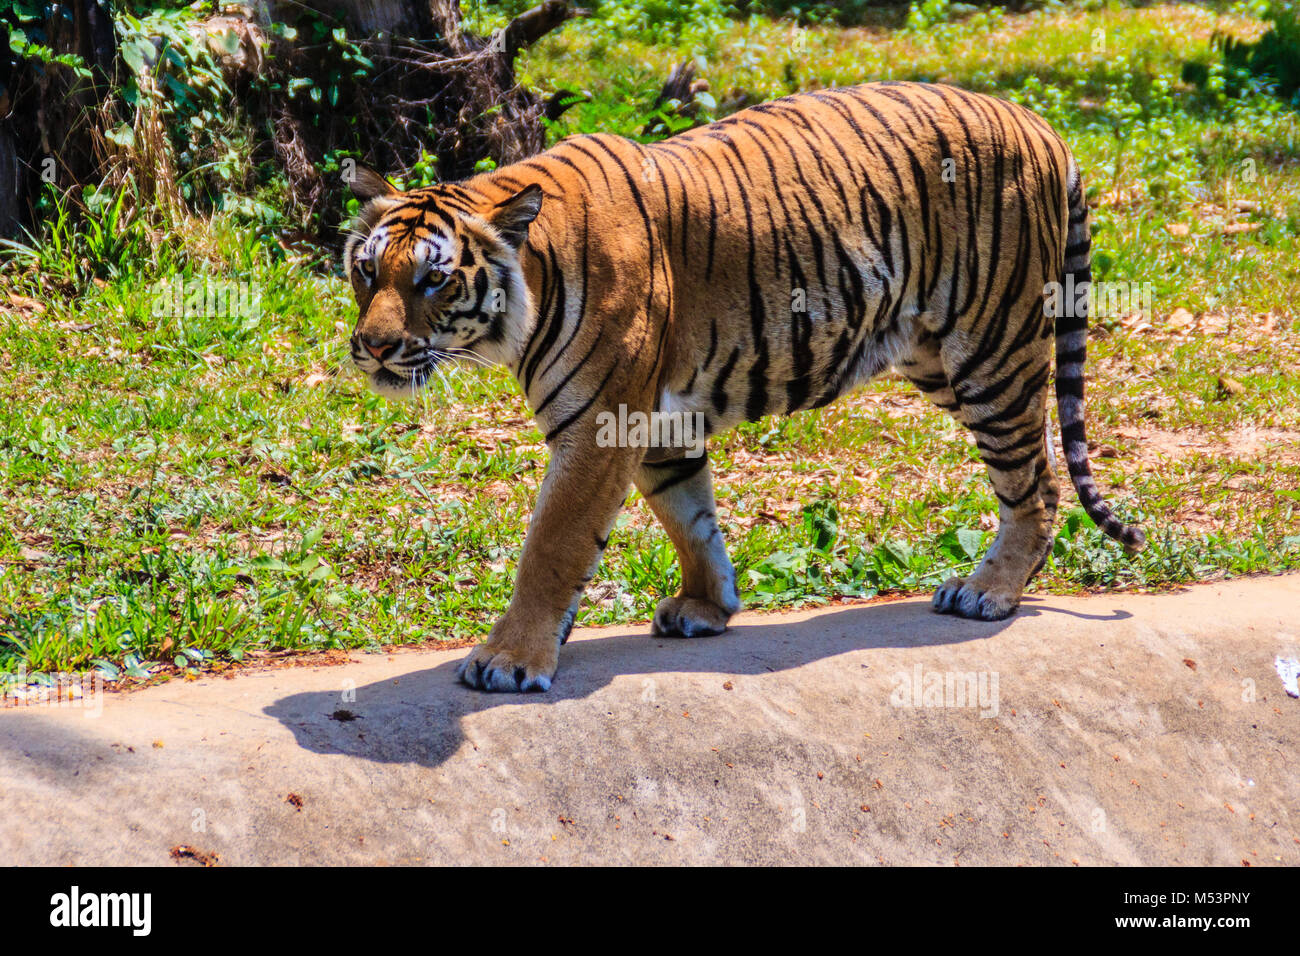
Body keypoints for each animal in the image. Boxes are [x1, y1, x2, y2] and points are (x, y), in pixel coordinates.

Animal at [343, 80, 1144, 693]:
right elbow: (689, 516)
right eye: (367, 270)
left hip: (991, 351)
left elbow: (554, 545)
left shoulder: (599, 425)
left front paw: (510, 660)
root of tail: (1039, 122)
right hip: (934, 359)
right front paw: (708, 605)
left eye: (433, 279)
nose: (373, 347)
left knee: (1036, 481)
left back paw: (988, 592)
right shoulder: (657, 423)